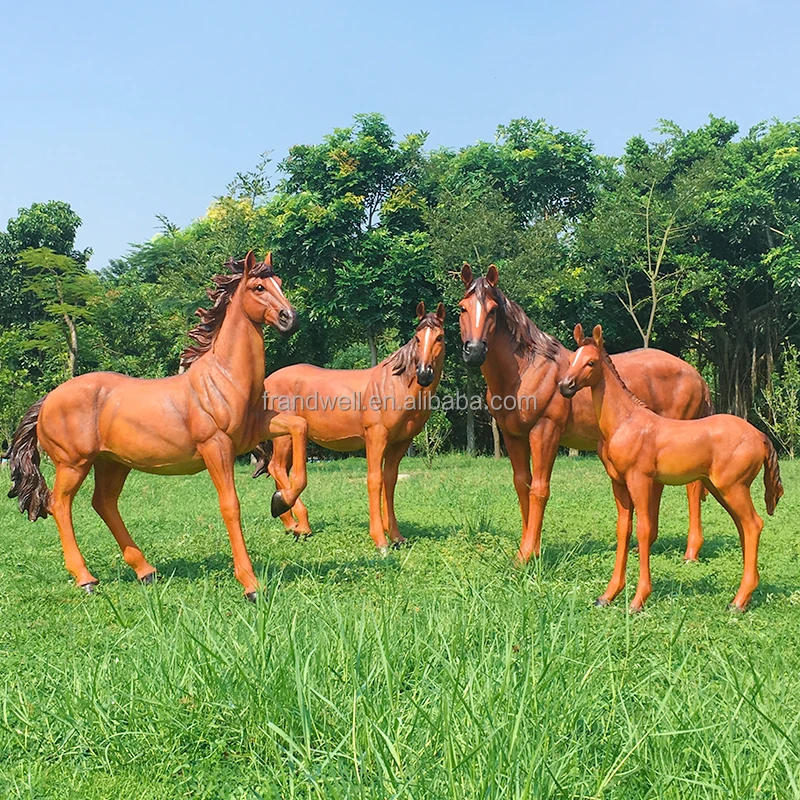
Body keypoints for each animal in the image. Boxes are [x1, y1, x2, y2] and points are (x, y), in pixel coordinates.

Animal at [5, 251, 309, 601]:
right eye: (259, 287)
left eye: (280, 282)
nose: (290, 319)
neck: (224, 379)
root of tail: (48, 400)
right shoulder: (217, 447)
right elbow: (230, 505)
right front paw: (251, 585)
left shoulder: (257, 431)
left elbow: (299, 427)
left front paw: (281, 501)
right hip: (73, 463)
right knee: (59, 504)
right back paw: (86, 579)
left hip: (112, 463)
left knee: (103, 504)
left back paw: (146, 571)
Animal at [252, 302, 446, 554]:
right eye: (417, 338)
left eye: (440, 337)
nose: (424, 373)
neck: (395, 385)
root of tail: (268, 381)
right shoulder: (376, 437)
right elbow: (374, 481)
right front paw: (380, 541)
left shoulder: (400, 443)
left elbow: (390, 481)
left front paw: (396, 537)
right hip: (284, 437)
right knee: (276, 468)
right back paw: (298, 521)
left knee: (279, 469)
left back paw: (290, 523)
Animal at [458, 263, 714, 563]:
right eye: (462, 308)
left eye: (492, 309)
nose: (474, 351)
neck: (528, 370)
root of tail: (697, 377)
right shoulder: (513, 436)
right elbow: (523, 485)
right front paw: (528, 549)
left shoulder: (545, 431)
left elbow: (540, 489)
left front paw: (528, 555)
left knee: (693, 487)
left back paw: (691, 552)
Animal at [560, 324, 783, 612]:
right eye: (572, 359)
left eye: (590, 362)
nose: (565, 386)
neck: (625, 422)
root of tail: (761, 436)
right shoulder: (619, 484)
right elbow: (623, 530)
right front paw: (608, 595)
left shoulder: (640, 480)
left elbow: (644, 530)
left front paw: (638, 599)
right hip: (723, 489)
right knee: (744, 527)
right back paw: (745, 597)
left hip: (733, 488)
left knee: (754, 525)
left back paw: (738, 600)